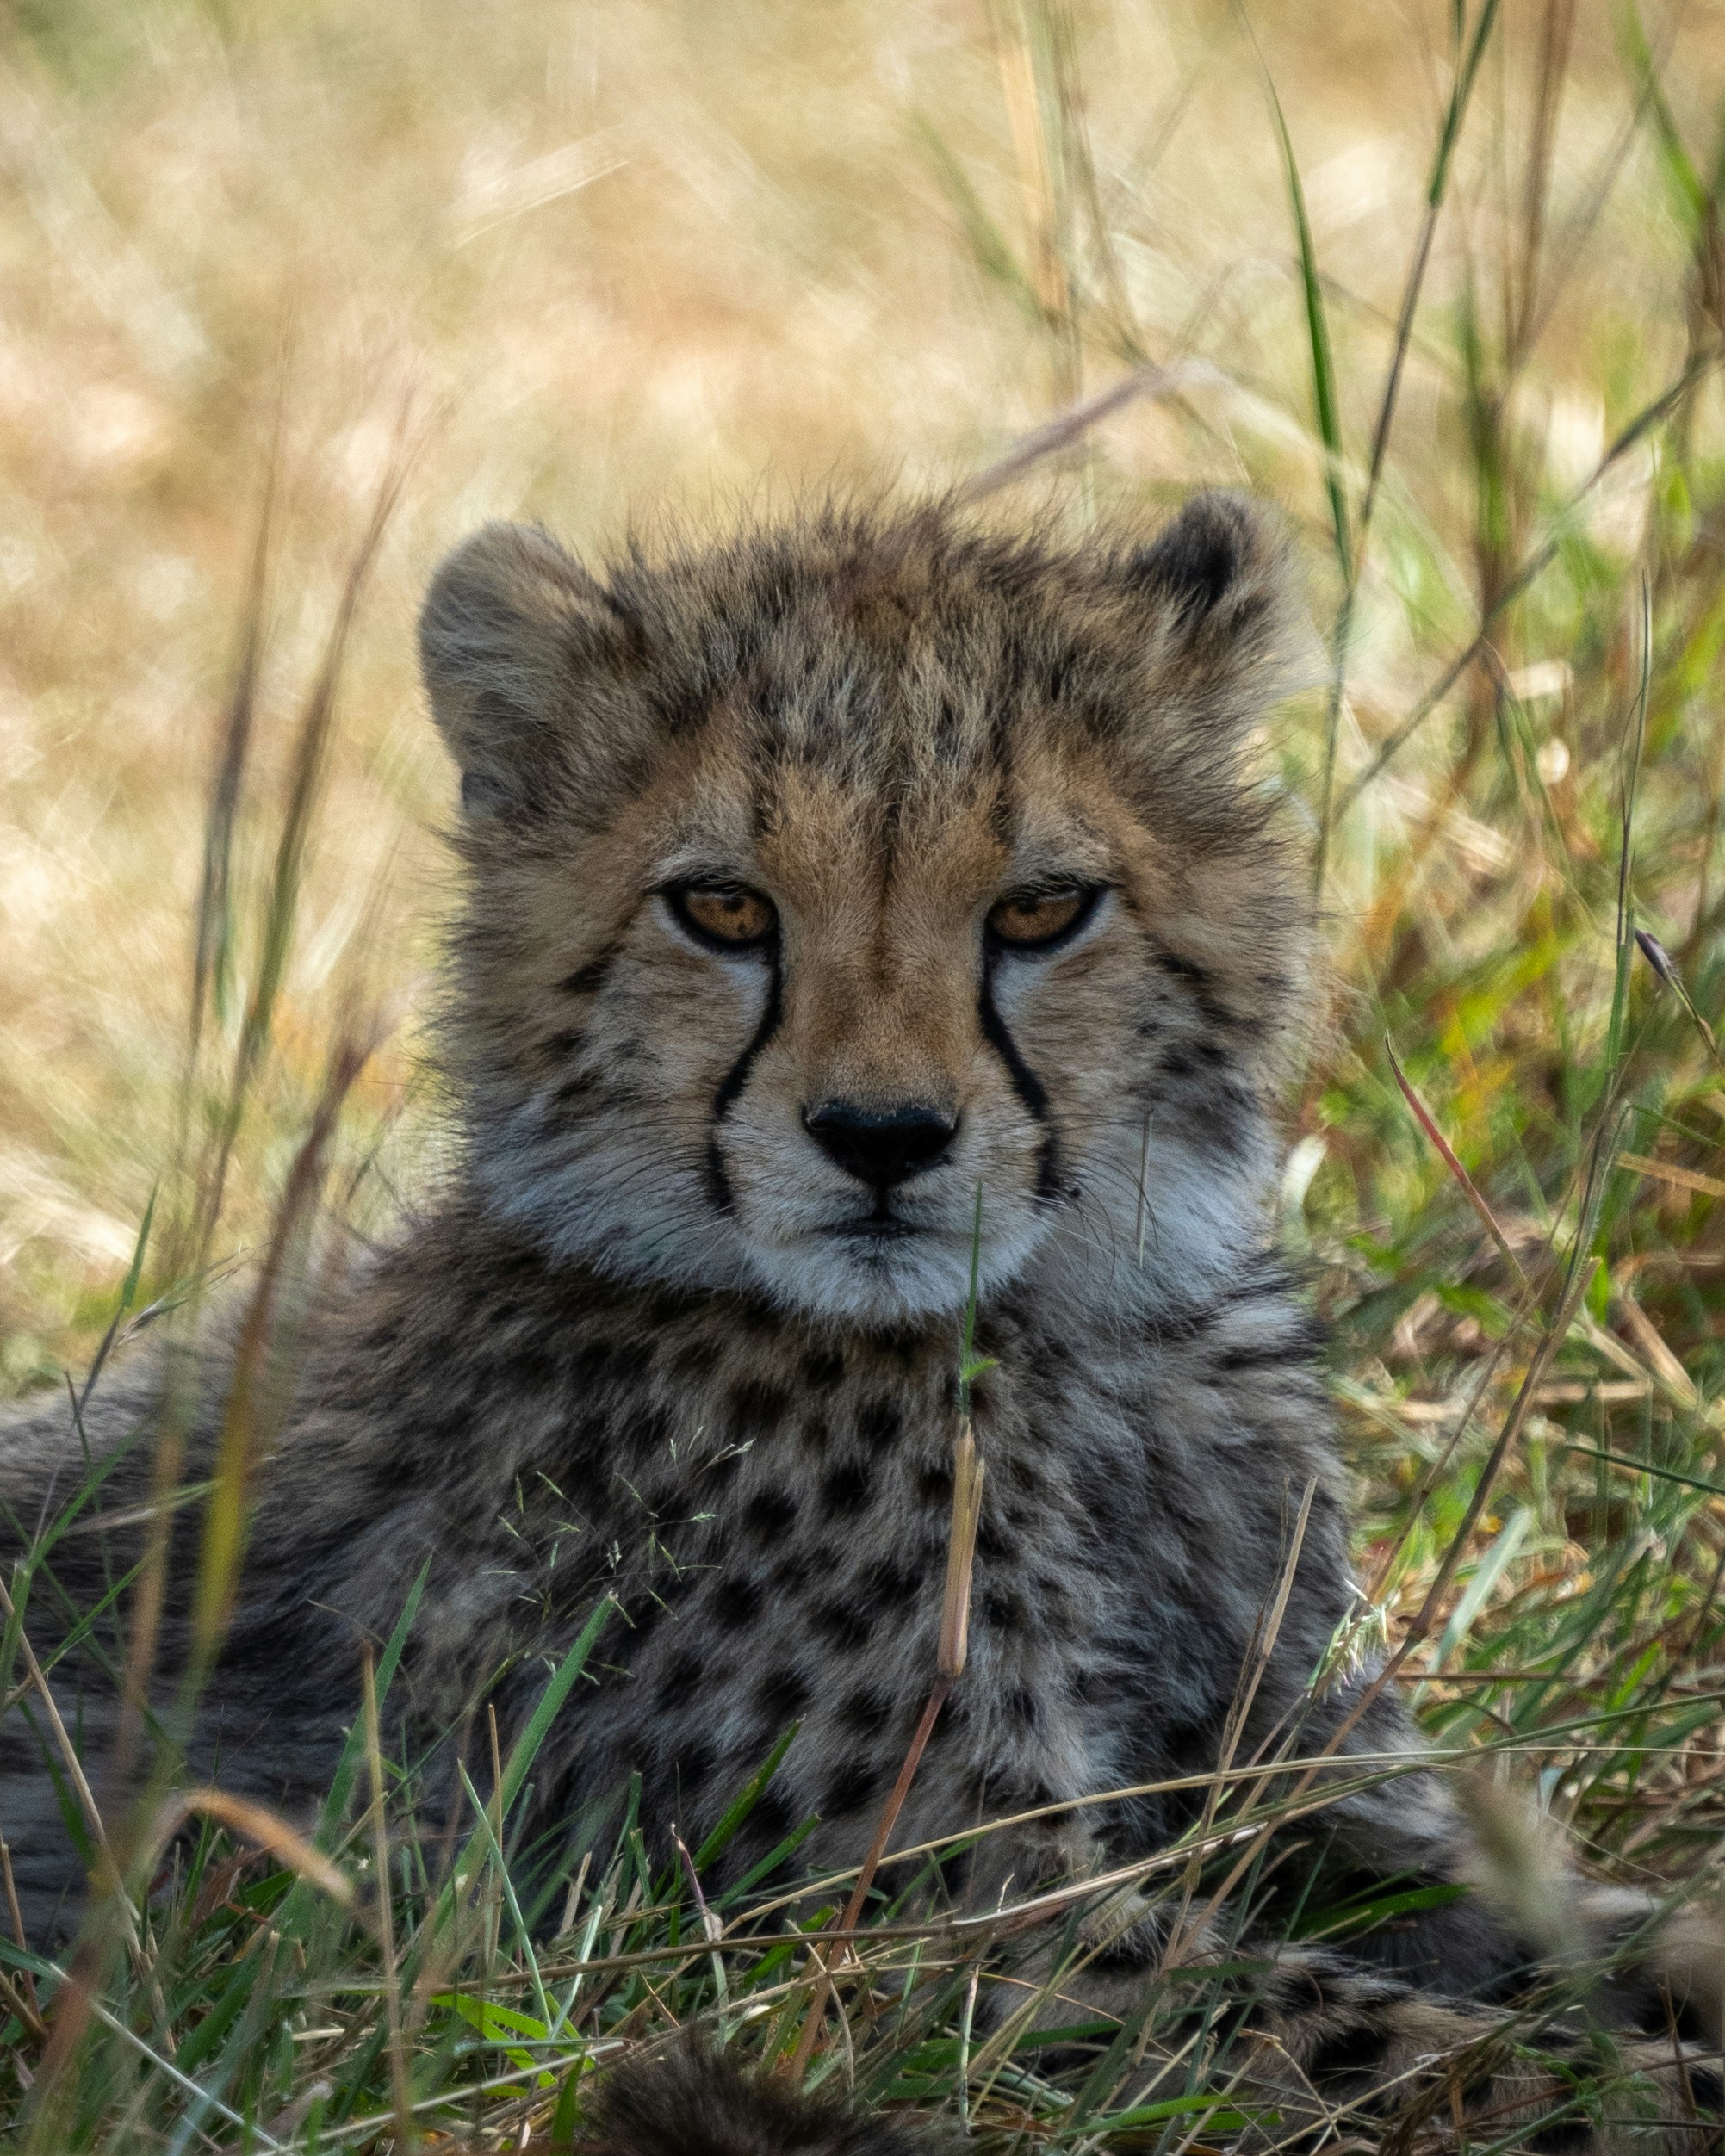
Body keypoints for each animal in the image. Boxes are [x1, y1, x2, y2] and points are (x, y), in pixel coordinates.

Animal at [2, 491, 1720, 2151]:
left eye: (1039, 908)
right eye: (719, 907)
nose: (881, 1137)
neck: (1064, 1343)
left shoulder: (1314, 1797)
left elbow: (1603, 1926)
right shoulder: (975, 1935)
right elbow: (1468, 2060)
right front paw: (1648, 2085)